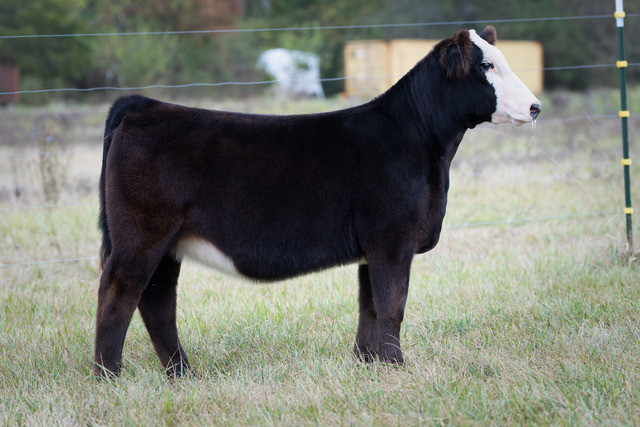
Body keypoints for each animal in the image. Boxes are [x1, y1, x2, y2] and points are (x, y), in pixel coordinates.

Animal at [94, 26, 541, 378]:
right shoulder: (392, 238)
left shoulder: (372, 246)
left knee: (156, 301)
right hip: (141, 235)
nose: (535, 106)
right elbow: (392, 304)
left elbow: (370, 306)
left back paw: (181, 373)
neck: (419, 141)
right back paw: (108, 375)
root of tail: (142, 106)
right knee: (118, 293)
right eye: (487, 66)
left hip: (167, 244)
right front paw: (397, 367)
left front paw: (367, 364)